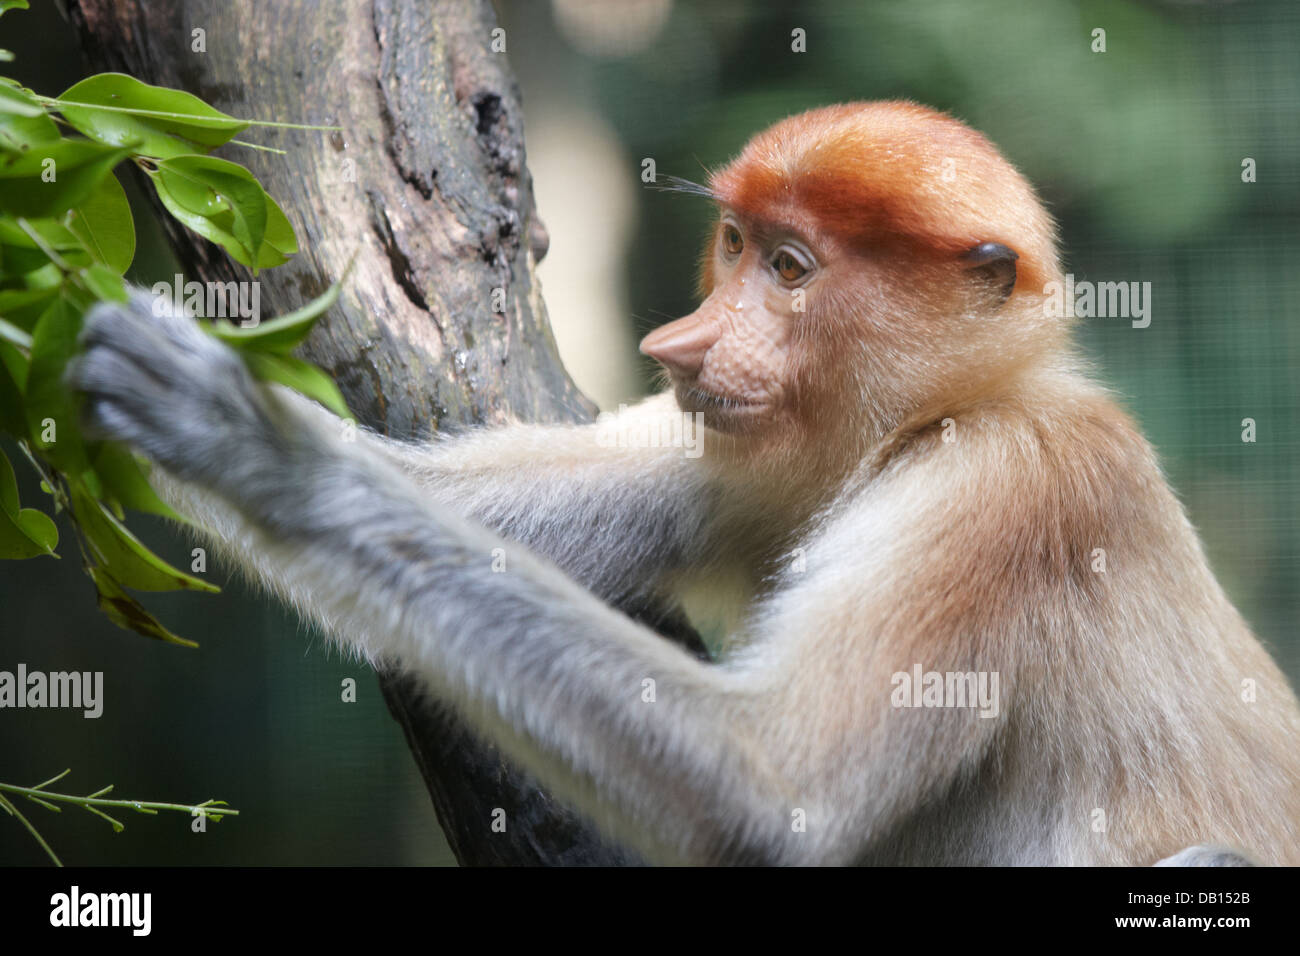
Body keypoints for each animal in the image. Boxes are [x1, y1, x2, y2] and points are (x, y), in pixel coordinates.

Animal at [69, 101, 1300, 866]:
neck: (945, 410)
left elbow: (768, 787)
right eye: (737, 242)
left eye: (792, 268)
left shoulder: (1002, 490)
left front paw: (250, 439)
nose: (682, 343)